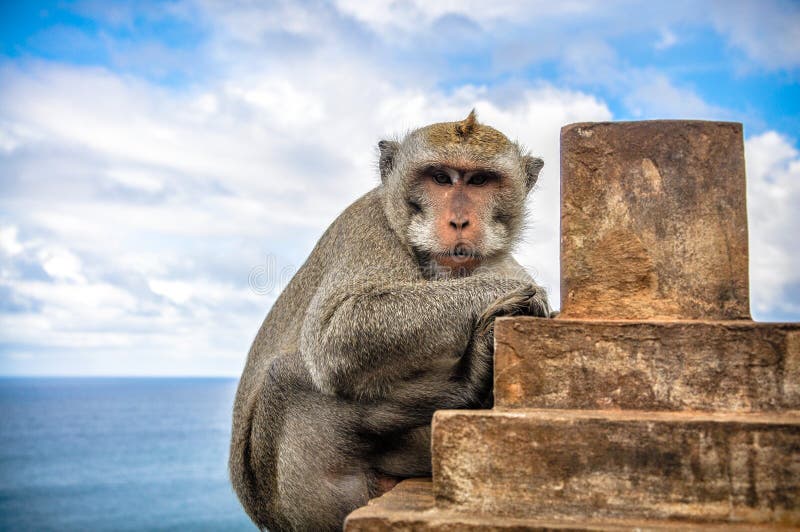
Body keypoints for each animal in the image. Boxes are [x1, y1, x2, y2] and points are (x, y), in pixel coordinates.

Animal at [229, 110, 551, 531]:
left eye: (480, 181)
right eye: (440, 178)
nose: (459, 221)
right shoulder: (370, 228)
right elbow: (339, 331)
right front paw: (503, 289)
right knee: (288, 377)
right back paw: (463, 387)